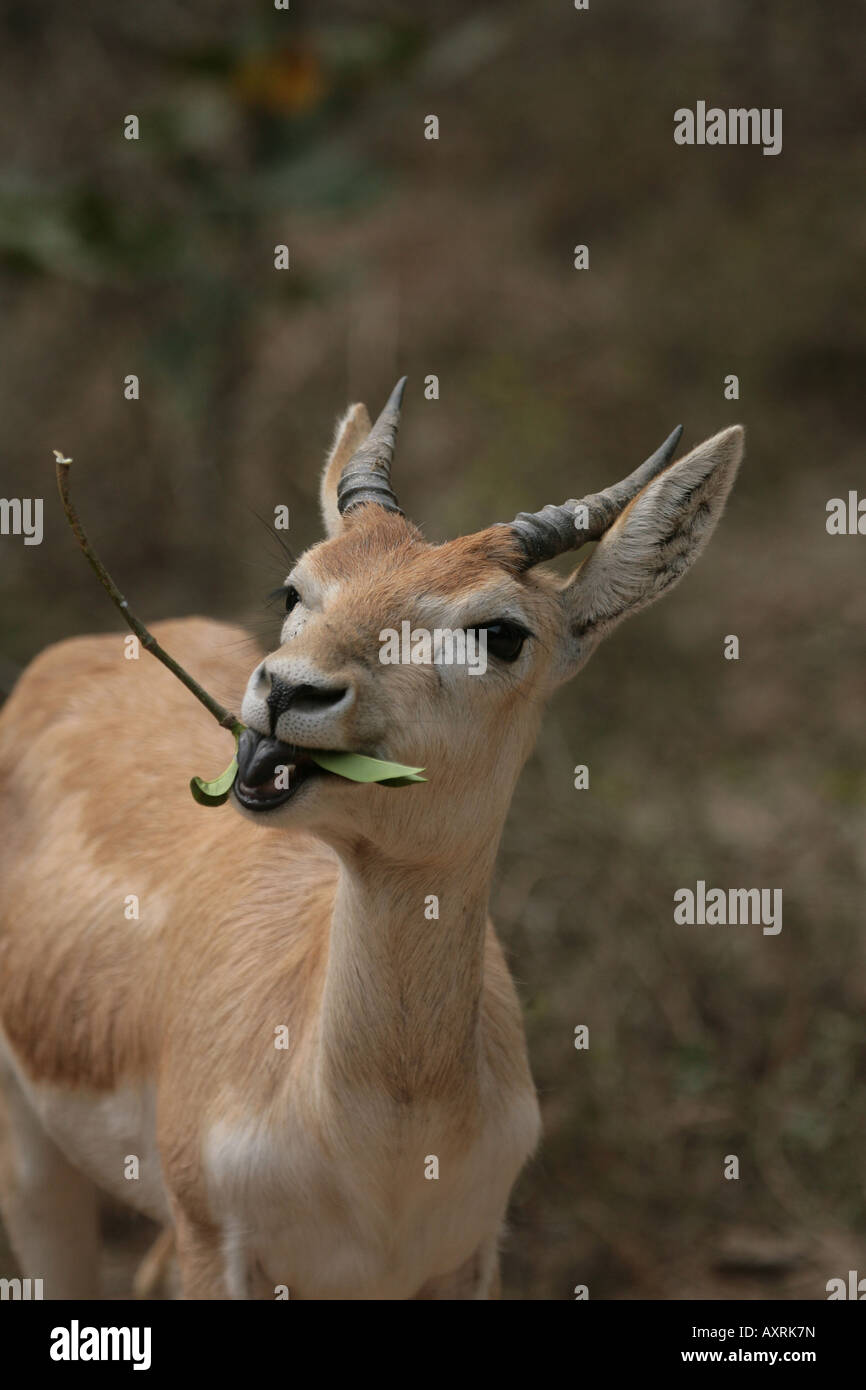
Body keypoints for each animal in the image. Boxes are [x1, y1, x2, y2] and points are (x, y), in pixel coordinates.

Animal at [0, 380, 743, 1299]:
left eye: (501, 632)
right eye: (296, 590)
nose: (287, 692)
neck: (383, 1140)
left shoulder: (464, 1259)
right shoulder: (216, 1245)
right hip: (36, 1163)